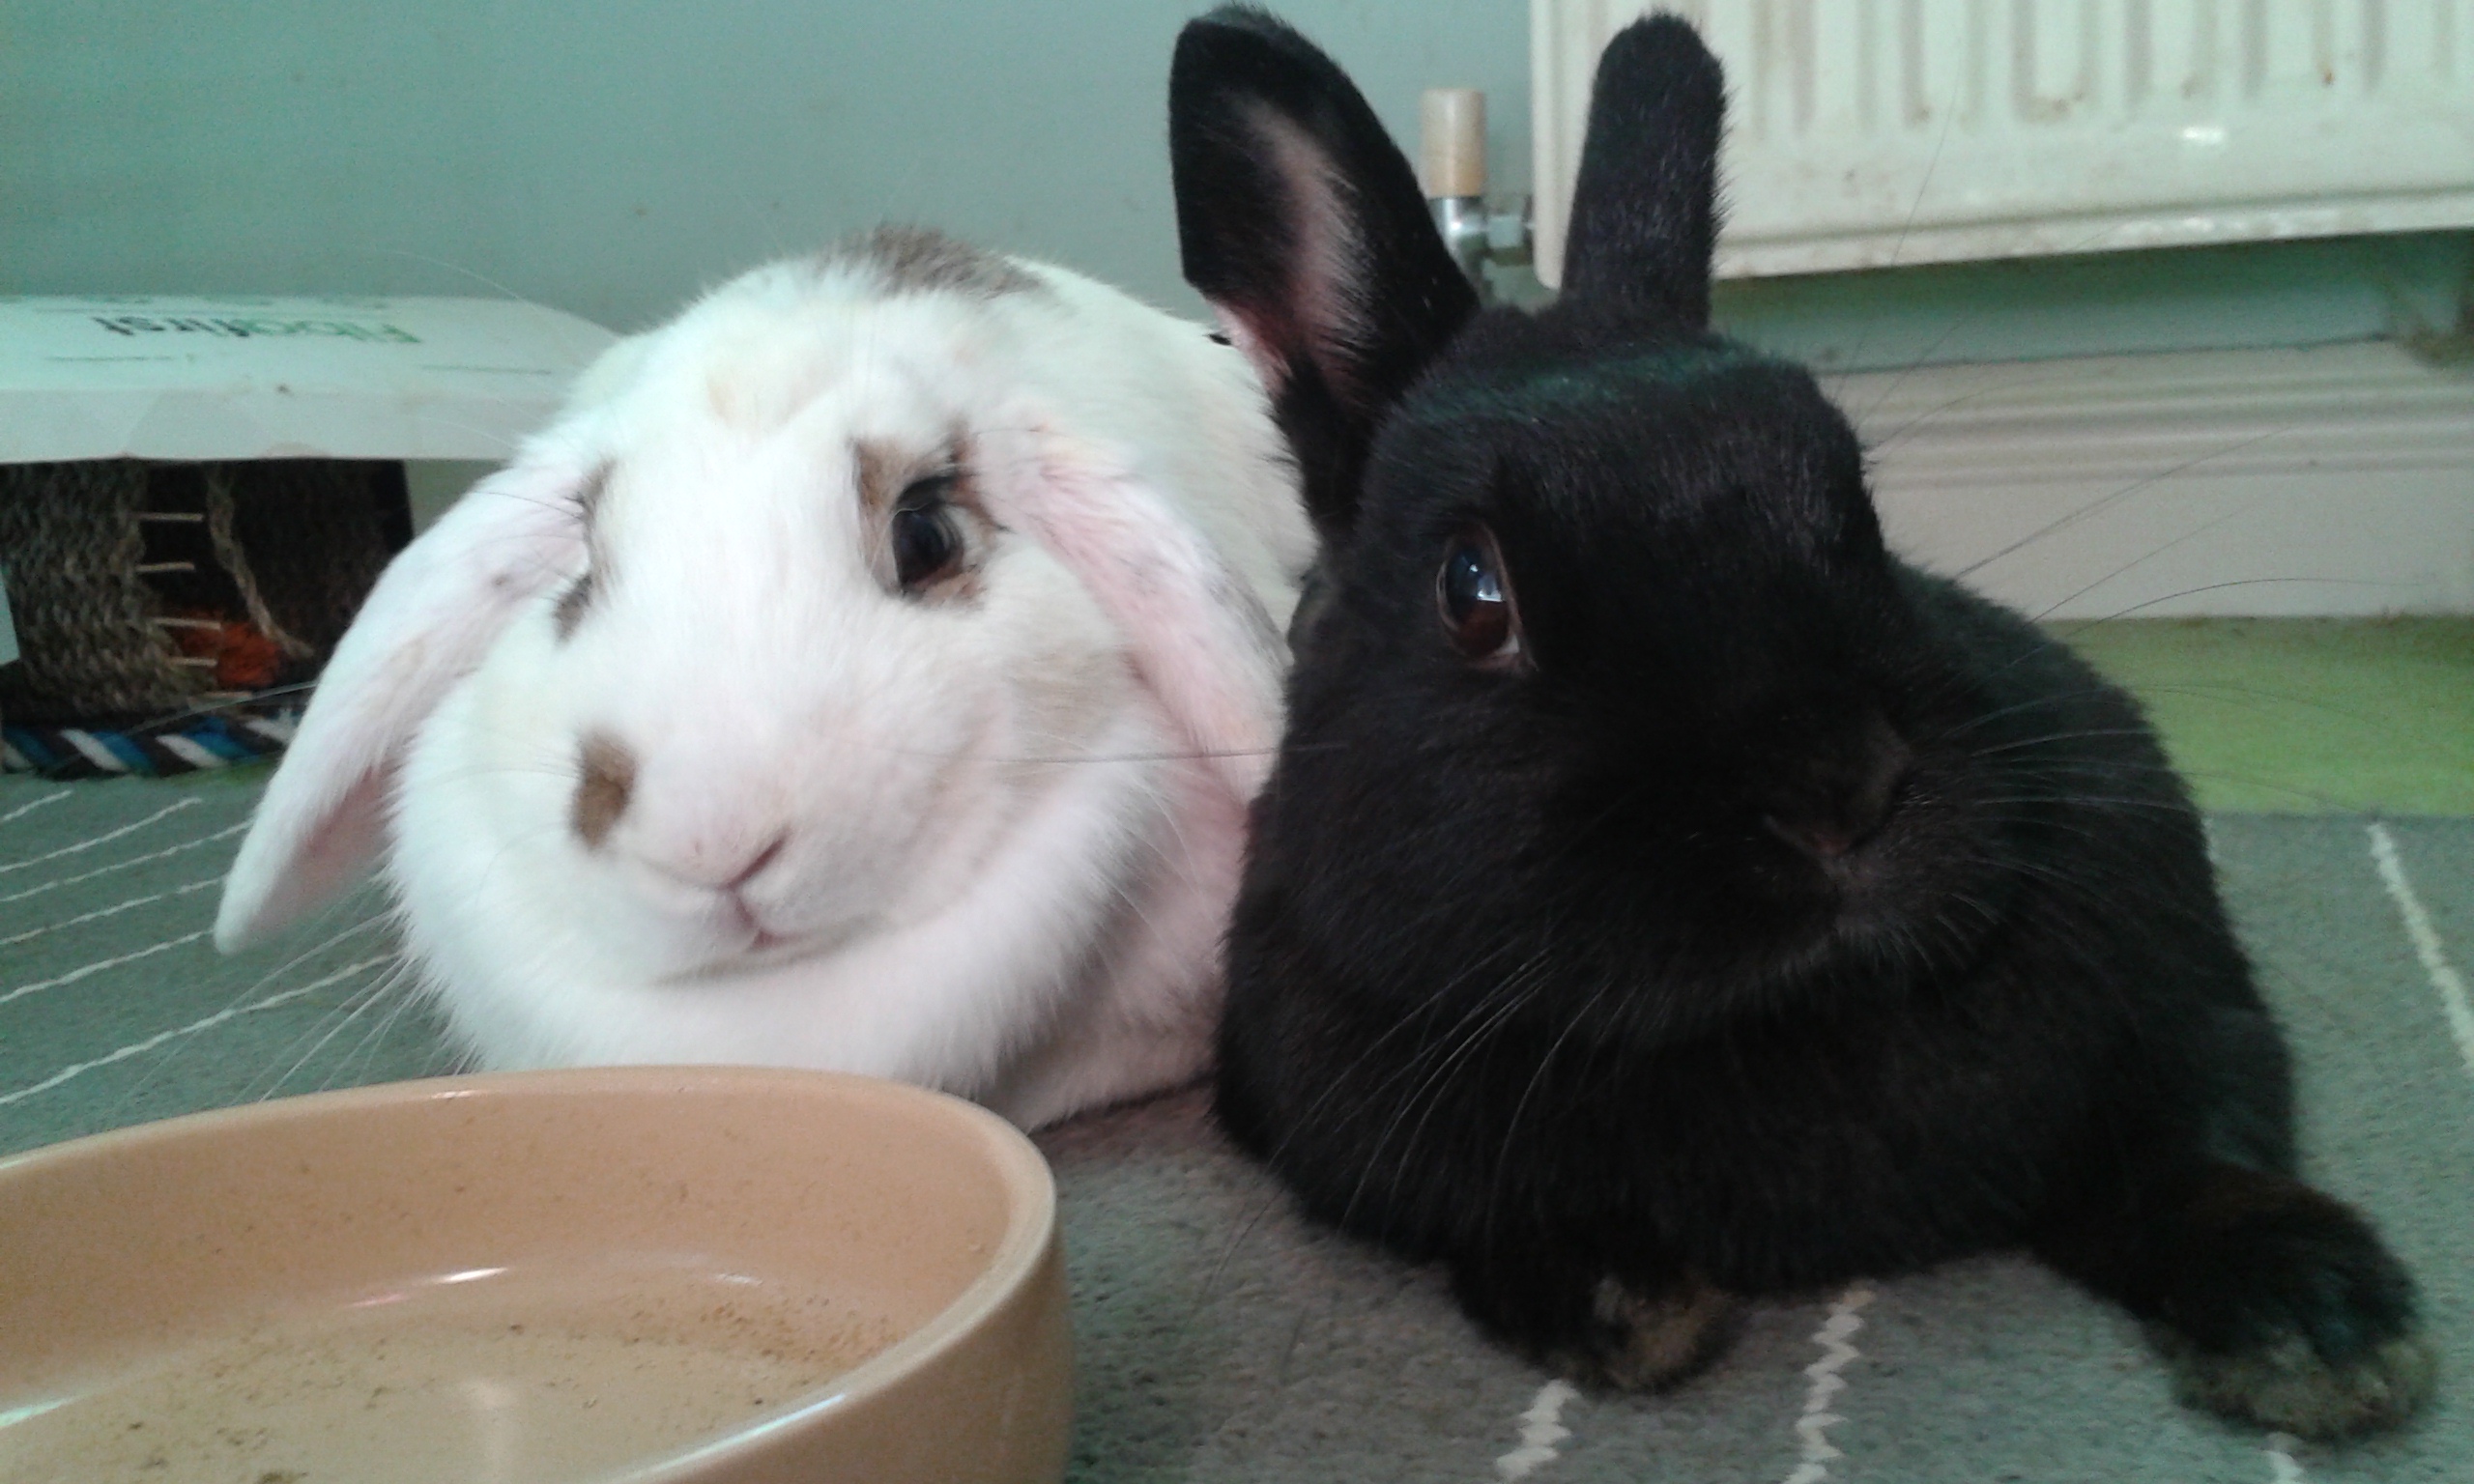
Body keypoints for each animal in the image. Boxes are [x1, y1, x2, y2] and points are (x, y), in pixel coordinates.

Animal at [1170, 7, 2433, 1438]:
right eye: (1472, 592)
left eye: (1855, 502)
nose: (1841, 787)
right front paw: (1619, 1300)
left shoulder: (2190, 1016)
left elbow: (2196, 1155)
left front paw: (2319, 1327)